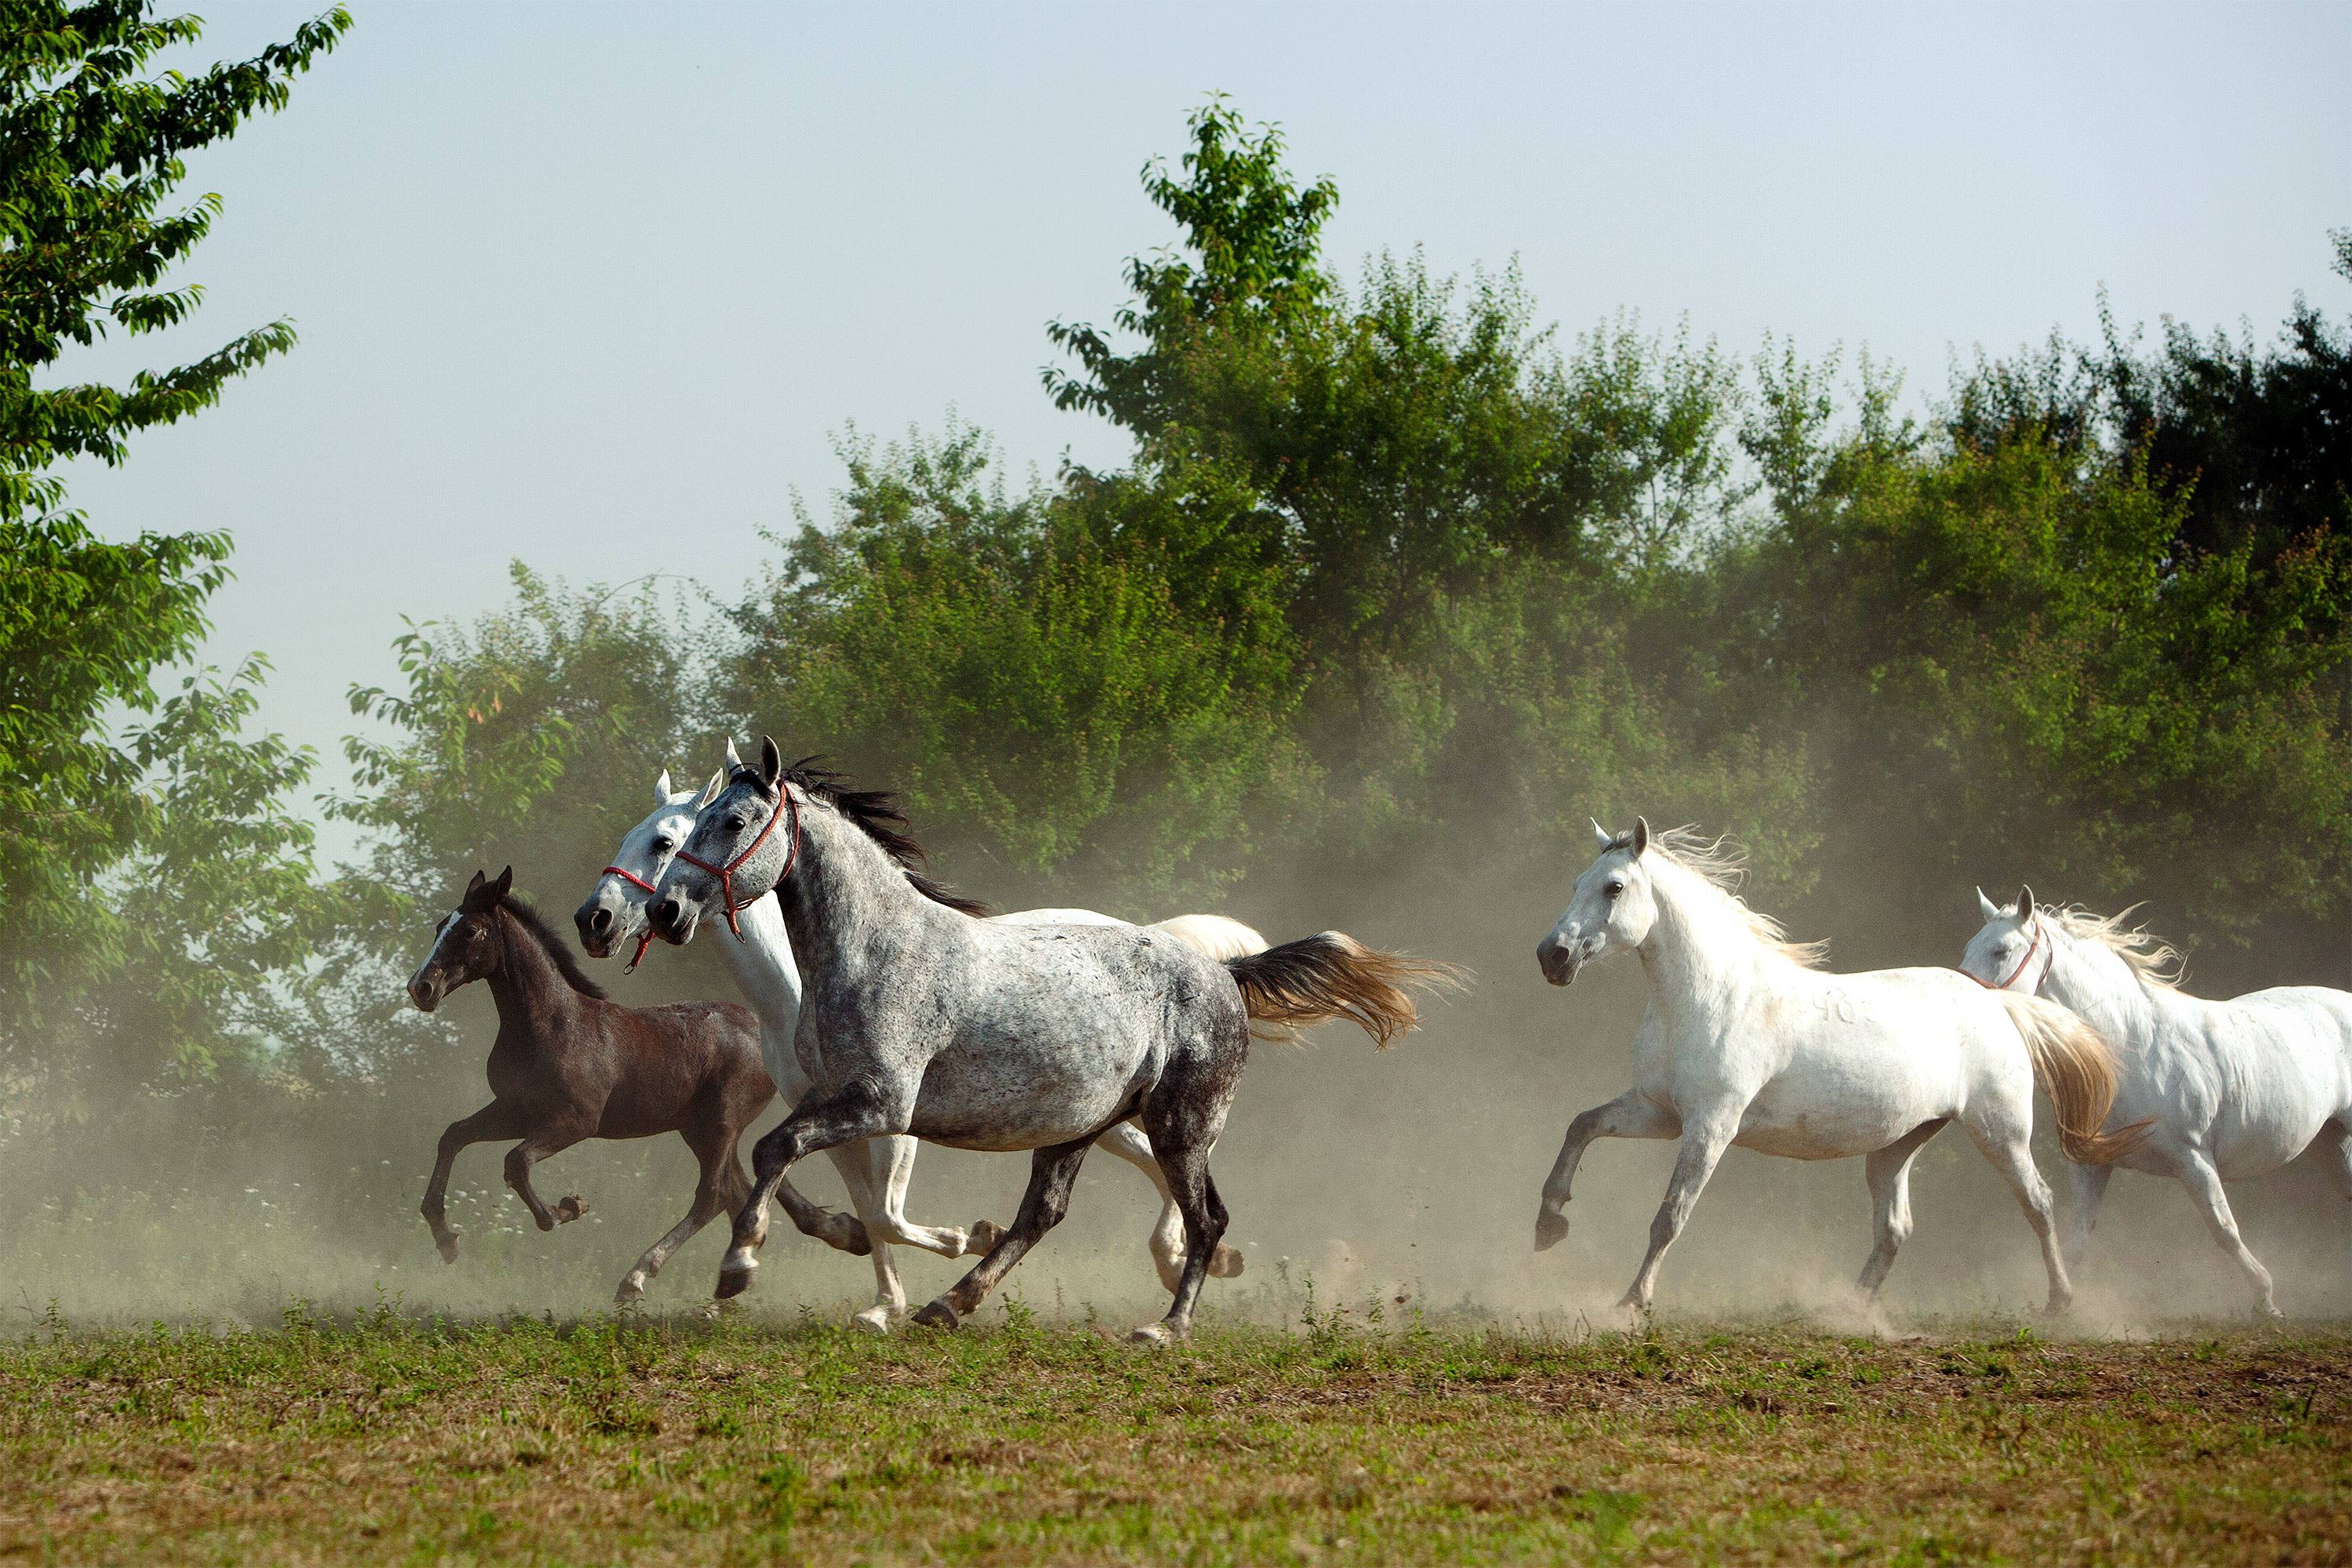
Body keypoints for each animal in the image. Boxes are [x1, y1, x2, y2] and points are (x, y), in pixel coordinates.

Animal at [405, 866, 872, 1302]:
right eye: (440, 925)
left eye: (470, 930)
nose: (420, 988)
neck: (549, 1025)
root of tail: (763, 1035)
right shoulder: (515, 1110)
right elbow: (453, 1137)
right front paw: (446, 1240)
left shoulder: (576, 1121)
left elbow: (516, 1163)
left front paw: (566, 1209)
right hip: (700, 1129)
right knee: (737, 1190)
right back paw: (834, 1236)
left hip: (720, 1124)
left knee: (712, 1196)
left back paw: (638, 1277)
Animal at [645, 737, 1458, 1341]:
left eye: (733, 821)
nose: (664, 910)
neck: (879, 949)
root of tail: (1223, 974)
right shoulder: (832, 1098)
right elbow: (793, 1169)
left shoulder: (882, 1105)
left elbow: (783, 1154)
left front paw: (739, 1267)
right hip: (1076, 1128)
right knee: (1044, 1215)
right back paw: (951, 1304)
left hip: (1182, 1126)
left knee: (1205, 1218)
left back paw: (1166, 1327)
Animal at [1532, 820, 2146, 1316]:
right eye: (1574, 884)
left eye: (1613, 887)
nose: (1552, 956)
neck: (1708, 997)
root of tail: (1996, 1003)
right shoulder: (1659, 1113)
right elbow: (1581, 1125)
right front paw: (1549, 1224)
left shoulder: (1711, 1125)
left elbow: (1670, 1215)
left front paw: (1631, 1302)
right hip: (1899, 1143)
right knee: (1895, 1228)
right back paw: (1848, 1312)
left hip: (2001, 1131)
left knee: (2038, 1203)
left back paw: (2060, 1302)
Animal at [1961, 890, 2352, 1316]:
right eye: (1968, 949)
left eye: (2000, 951)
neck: (2134, 1048)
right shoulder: (2091, 1166)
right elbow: (2077, 1240)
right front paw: (2059, 1304)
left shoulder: (2195, 1159)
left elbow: (2224, 1231)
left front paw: (2266, 1302)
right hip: (2331, 1144)